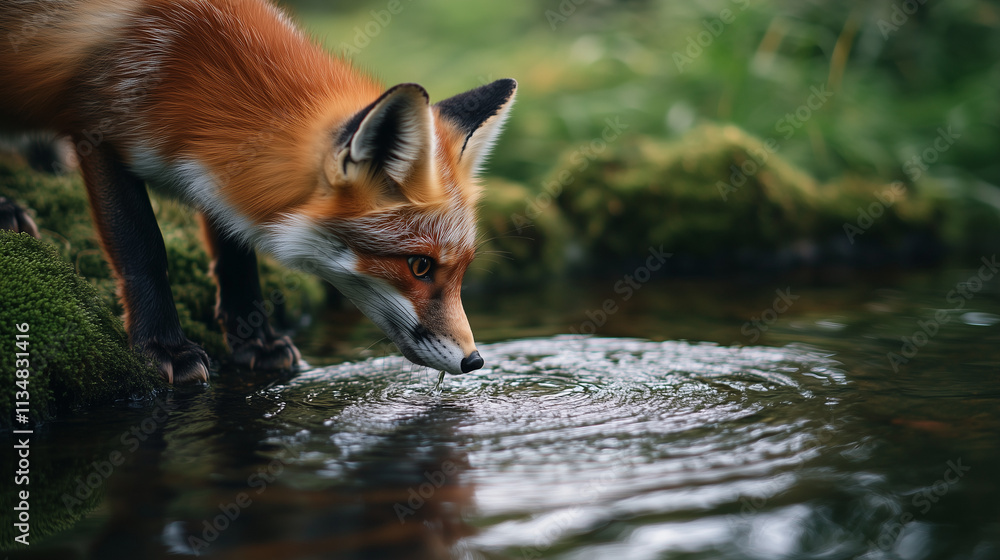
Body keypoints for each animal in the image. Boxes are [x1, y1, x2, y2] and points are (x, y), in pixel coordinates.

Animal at [0, 0, 516, 383]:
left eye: (462, 269)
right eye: (419, 266)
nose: (475, 361)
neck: (179, 65)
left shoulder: (218, 174)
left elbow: (235, 255)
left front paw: (255, 340)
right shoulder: (97, 131)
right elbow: (143, 248)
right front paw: (163, 346)